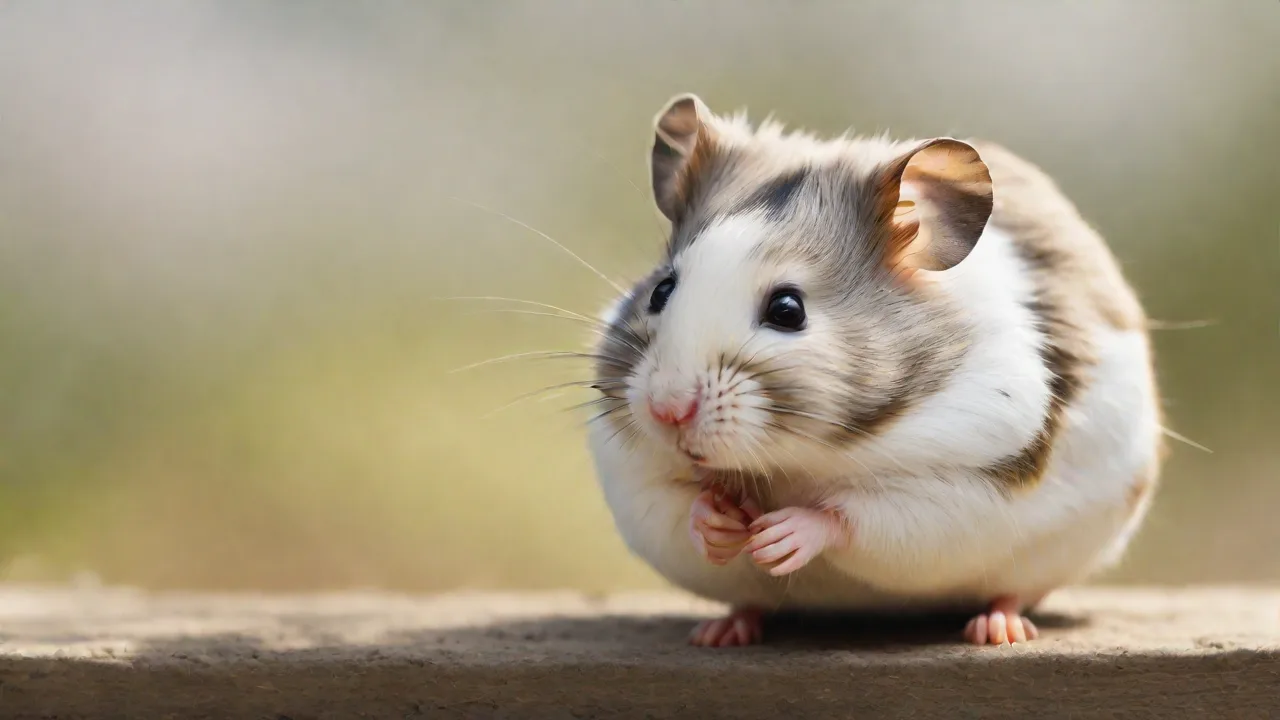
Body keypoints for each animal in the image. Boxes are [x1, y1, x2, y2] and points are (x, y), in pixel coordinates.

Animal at [585, 93, 1164, 647]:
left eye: (788, 310)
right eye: (662, 290)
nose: (667, 411)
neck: (791, 463)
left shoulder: (965, 486)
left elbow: (853, 517)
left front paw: (777, 537)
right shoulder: (634, 481)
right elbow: (678, 506)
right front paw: (720, 522)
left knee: (1011, 592)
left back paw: (998, 629)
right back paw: (722, 632)